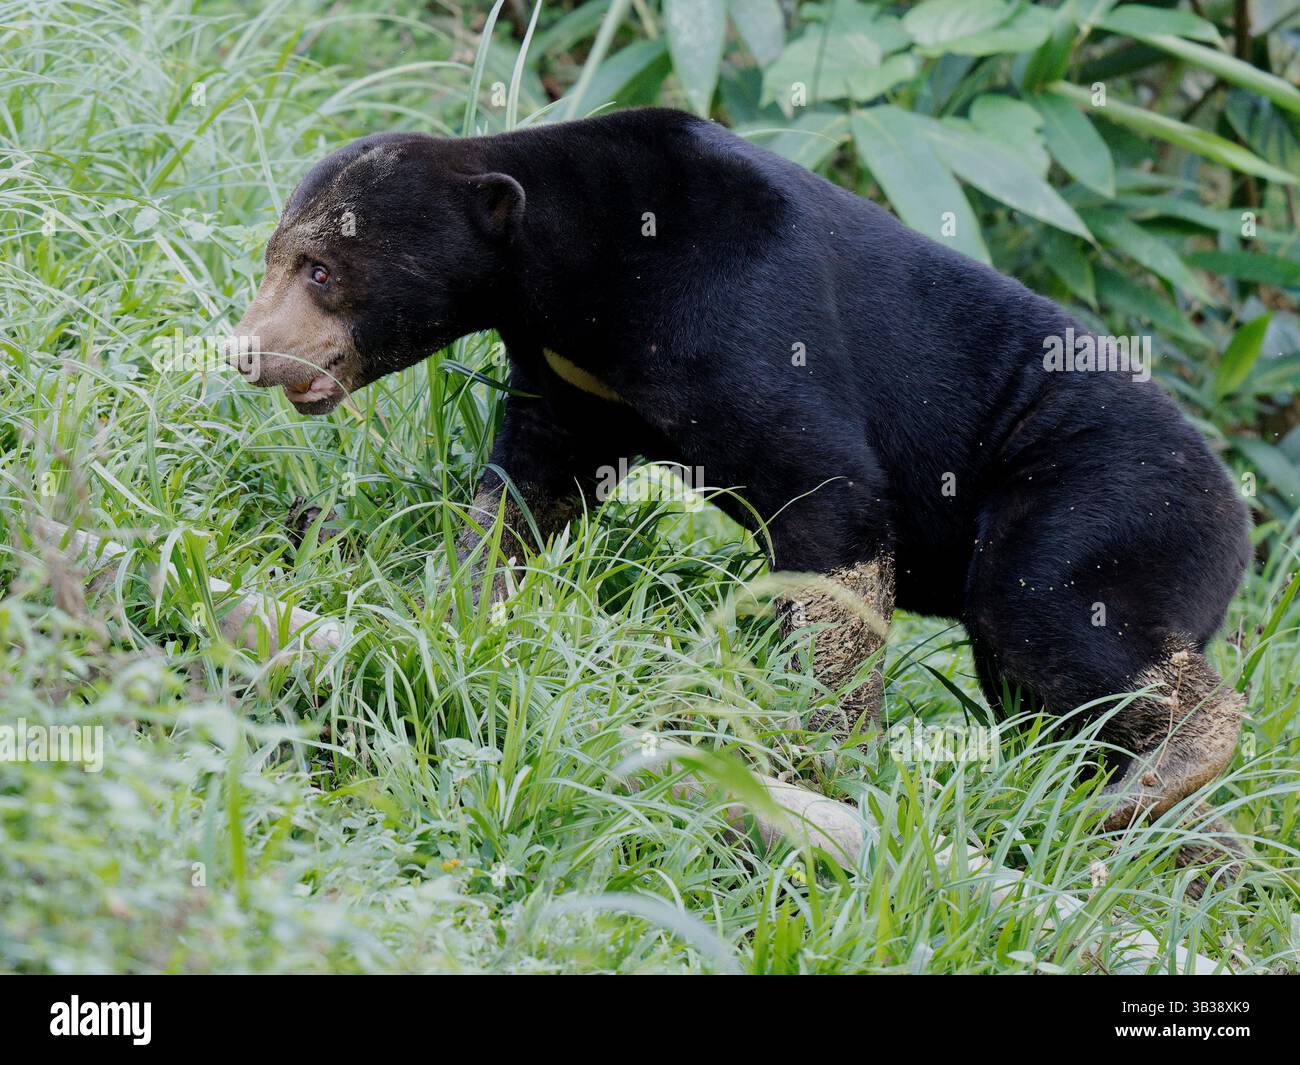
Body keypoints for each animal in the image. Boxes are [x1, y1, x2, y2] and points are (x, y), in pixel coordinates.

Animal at [231, 107, 1251, 836]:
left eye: (320, 271)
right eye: (278, 257)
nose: (246, 350)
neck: (579, 270)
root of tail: (1241, 523)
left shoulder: (748, 315)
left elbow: (835, 505)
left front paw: (825, 755)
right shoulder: (574, 383)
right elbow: (526, 488)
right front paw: (456, 612)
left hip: (1108, 494)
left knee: (1052, 607)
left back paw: (1160, 775)